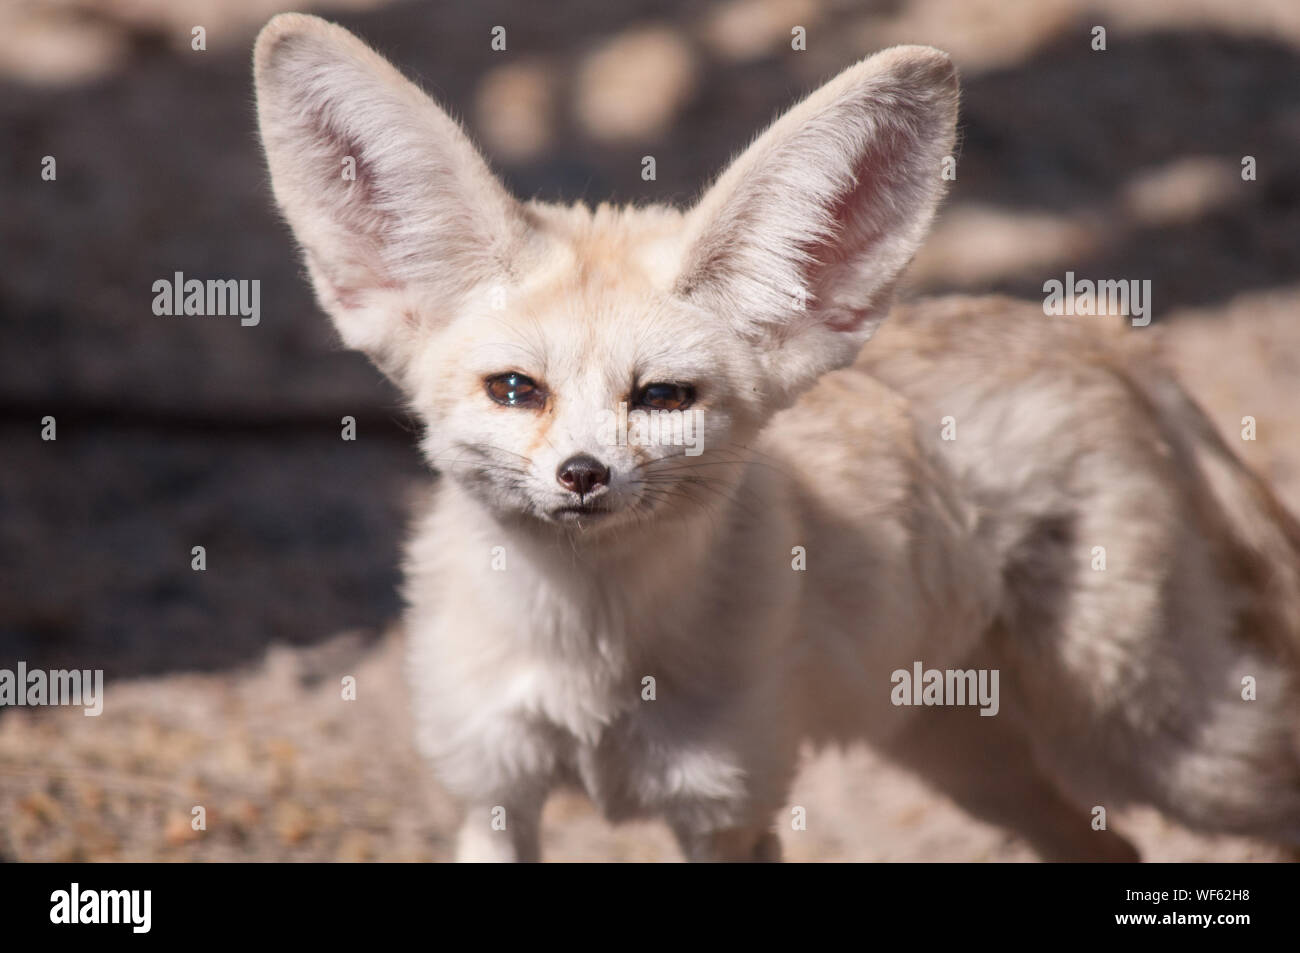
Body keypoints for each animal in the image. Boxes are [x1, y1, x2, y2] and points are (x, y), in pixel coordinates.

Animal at [254, 13, 1300, 861]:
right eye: (517, 390)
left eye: (662, 396)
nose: (584, 474)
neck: (591, 655)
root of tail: (1099, 330)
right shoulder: (491, 789)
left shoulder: (728, 803)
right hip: (957, 750)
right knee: (1111, 847)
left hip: (1165, 738)